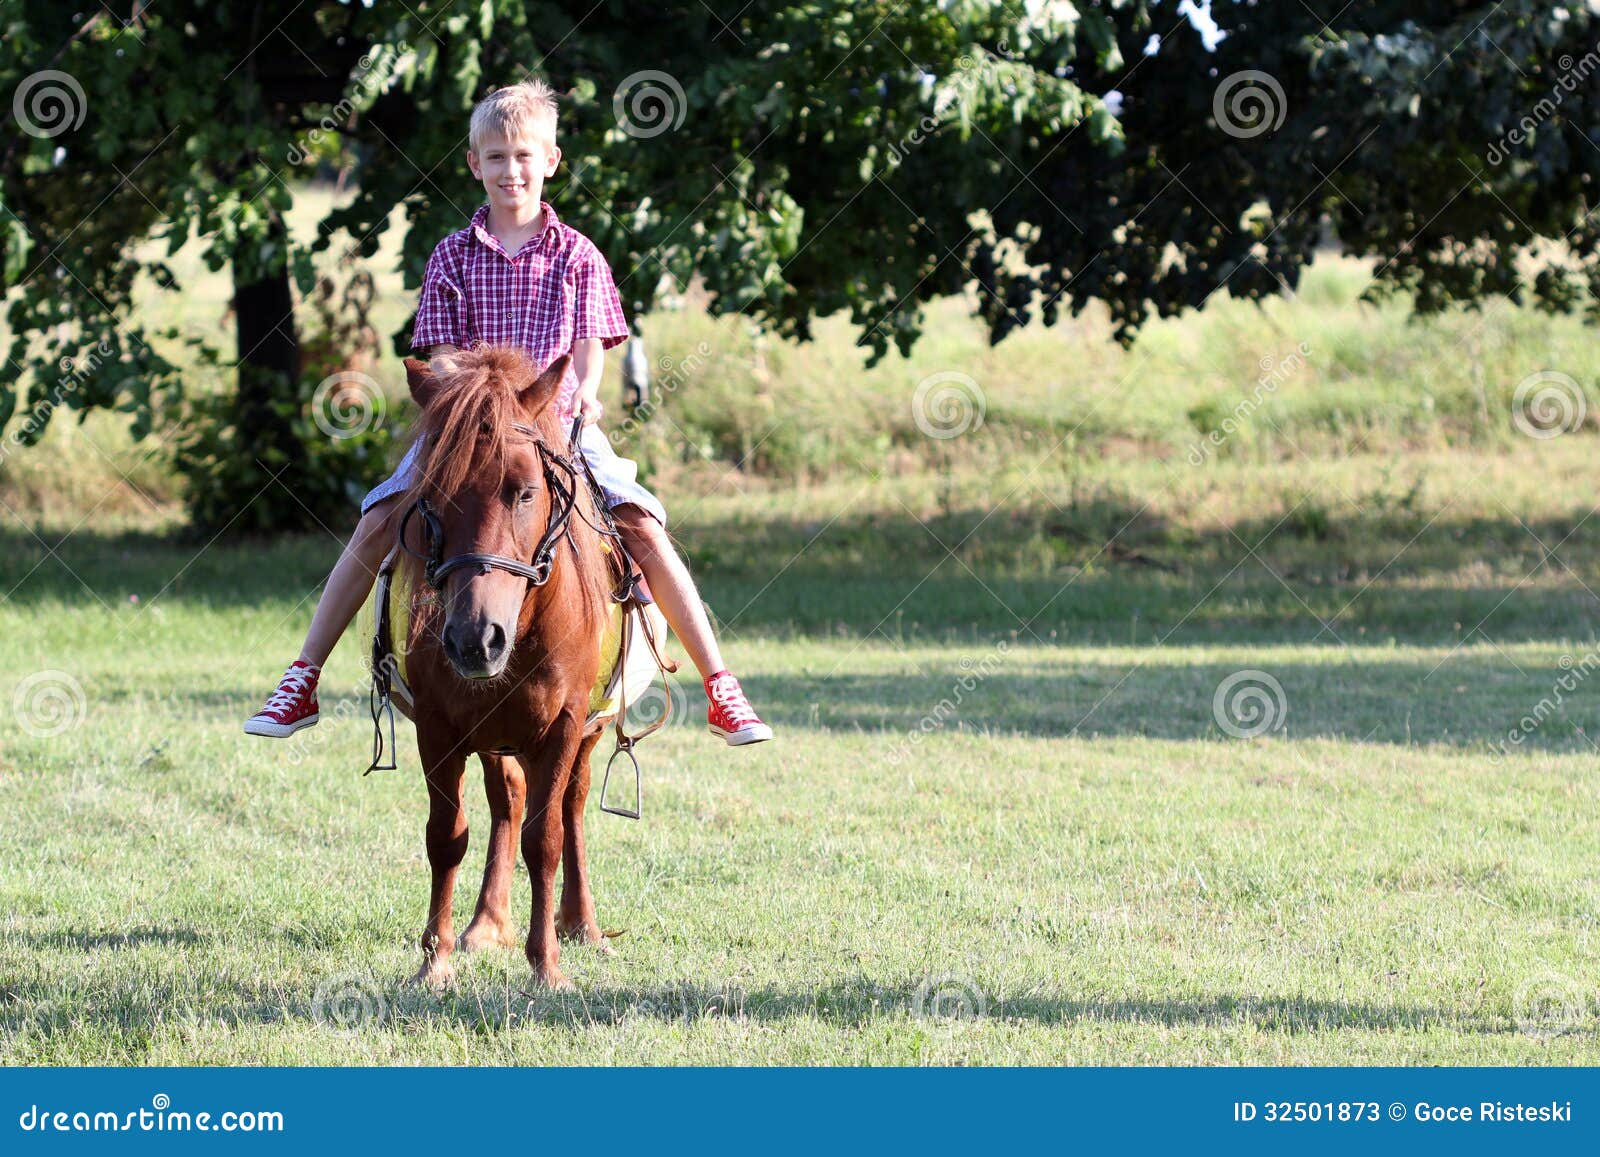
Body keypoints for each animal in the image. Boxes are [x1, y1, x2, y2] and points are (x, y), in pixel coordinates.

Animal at [395, 346, 617, 990]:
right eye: (431, 496)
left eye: (524, 492)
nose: (476, 640)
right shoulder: (437, 728)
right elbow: (446, 838)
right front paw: (435, 962)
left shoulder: (565, 724)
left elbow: (544, 841)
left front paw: (547, 965)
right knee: (507, 801)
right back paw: (486, 925)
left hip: (587, 729)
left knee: (570, 806)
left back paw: (582, 925)